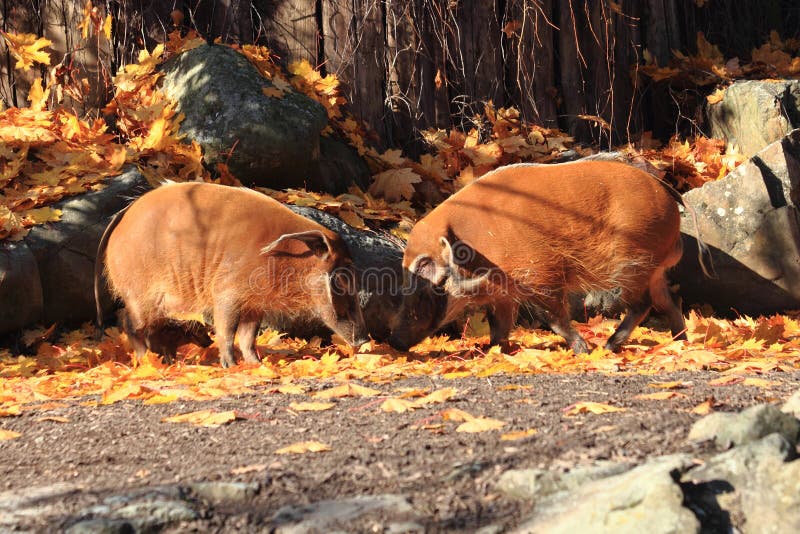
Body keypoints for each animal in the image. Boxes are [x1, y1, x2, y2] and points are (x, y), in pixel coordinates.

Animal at [95, 182, 368, 367]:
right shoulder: (227, 293)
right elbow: (226, 331)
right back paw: (148, 362)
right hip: (139, 295)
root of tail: (122, 216)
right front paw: (231, 366)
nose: (364, 341)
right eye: (340, 276)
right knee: (129, 324)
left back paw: (167, 361)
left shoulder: (254, 305)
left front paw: (256, 365)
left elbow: (248, 336)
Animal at [388, 160, 688, 353]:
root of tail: (672, 202)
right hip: (654, 271)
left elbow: (553, 317)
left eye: (424, 275)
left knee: (643, 305)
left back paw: (609, 345)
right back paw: (680, 340)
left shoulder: (541, 276)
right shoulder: (503, 294)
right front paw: (494, 351)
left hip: (633, 267)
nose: (394, 342)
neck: (479, 242)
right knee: (669, 302)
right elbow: (499, 326)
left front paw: (582, 350)